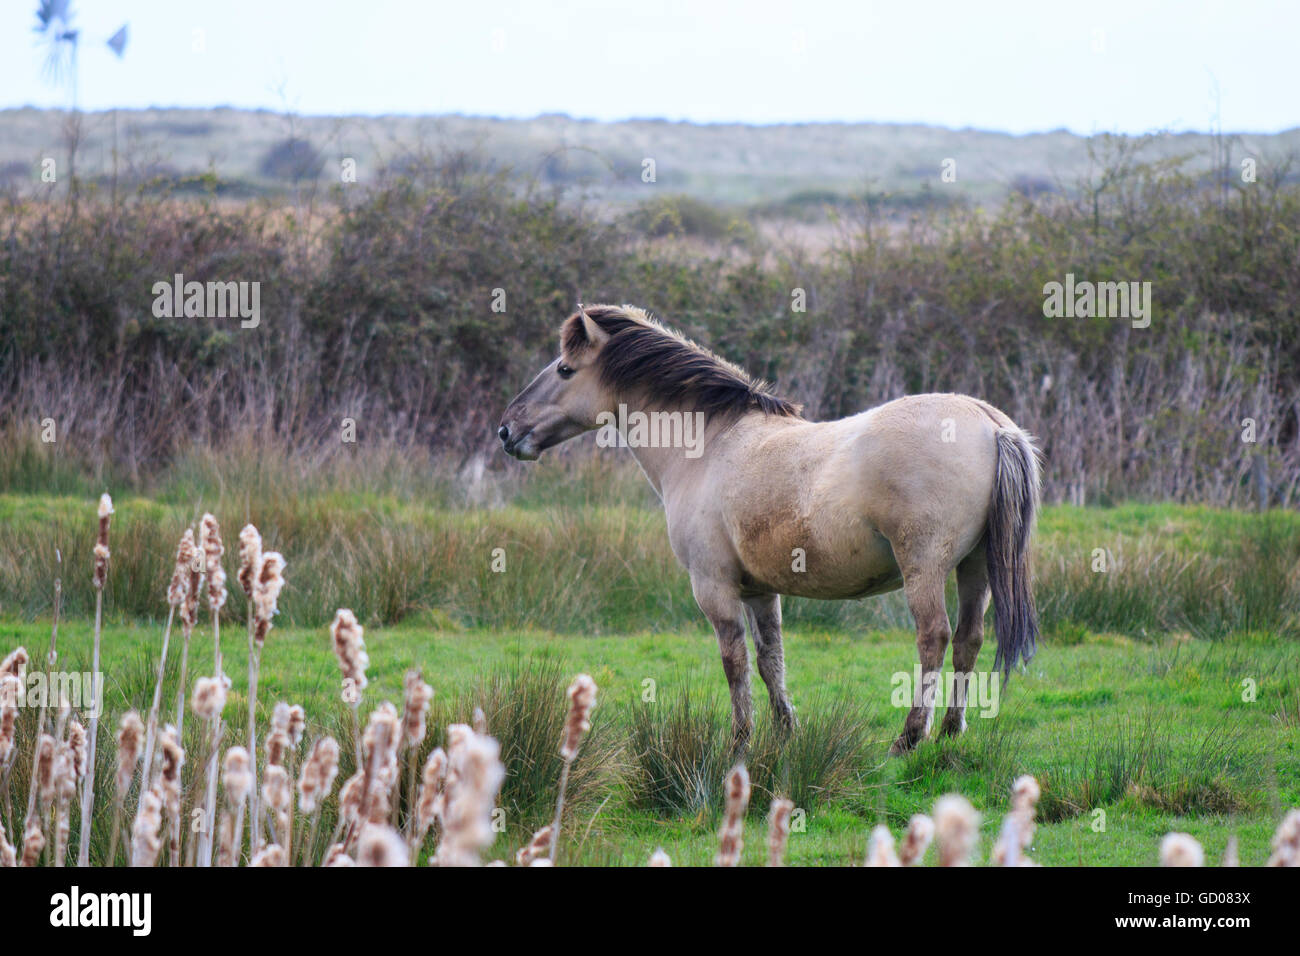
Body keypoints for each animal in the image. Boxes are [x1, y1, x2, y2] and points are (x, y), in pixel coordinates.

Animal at [498, 304, 1041, 753]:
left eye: (565, 370)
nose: (507, 430)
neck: (709, 444)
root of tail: (991, 423)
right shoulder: (760, 590)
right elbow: (770, 660)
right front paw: (785, 731)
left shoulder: (714, 587)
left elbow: (734, 662)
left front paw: (741, 740)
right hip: (976, 568)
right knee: (969, 639)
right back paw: (950, 731)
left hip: (924, 566)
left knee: (934, 637)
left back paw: (908, 737)